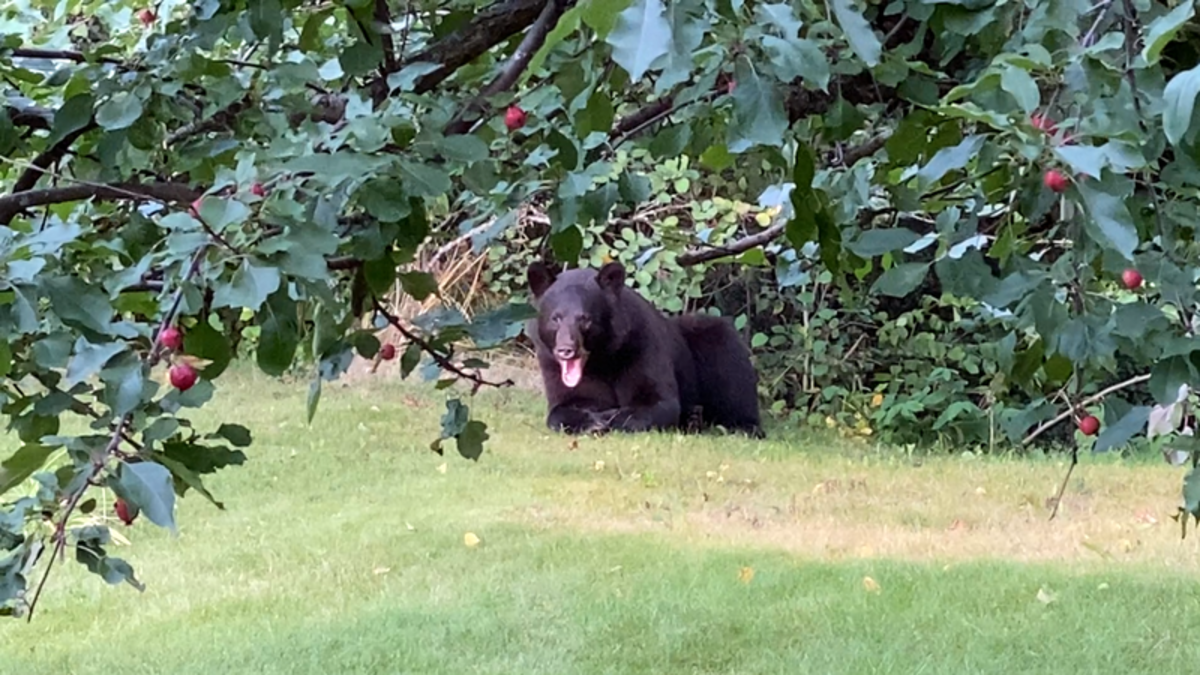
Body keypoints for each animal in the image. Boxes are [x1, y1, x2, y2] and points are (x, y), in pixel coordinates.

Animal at [525, 260, 764, 438]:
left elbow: (658, 402)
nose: (566, 350)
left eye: (585, 319)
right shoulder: (551, 364)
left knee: (732, 373)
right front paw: (592, 421)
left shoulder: (643, 347)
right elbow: (561, 408)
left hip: (713, 337)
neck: (601, 359)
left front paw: (609, 417)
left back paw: (740, 426)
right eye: (556, 318)